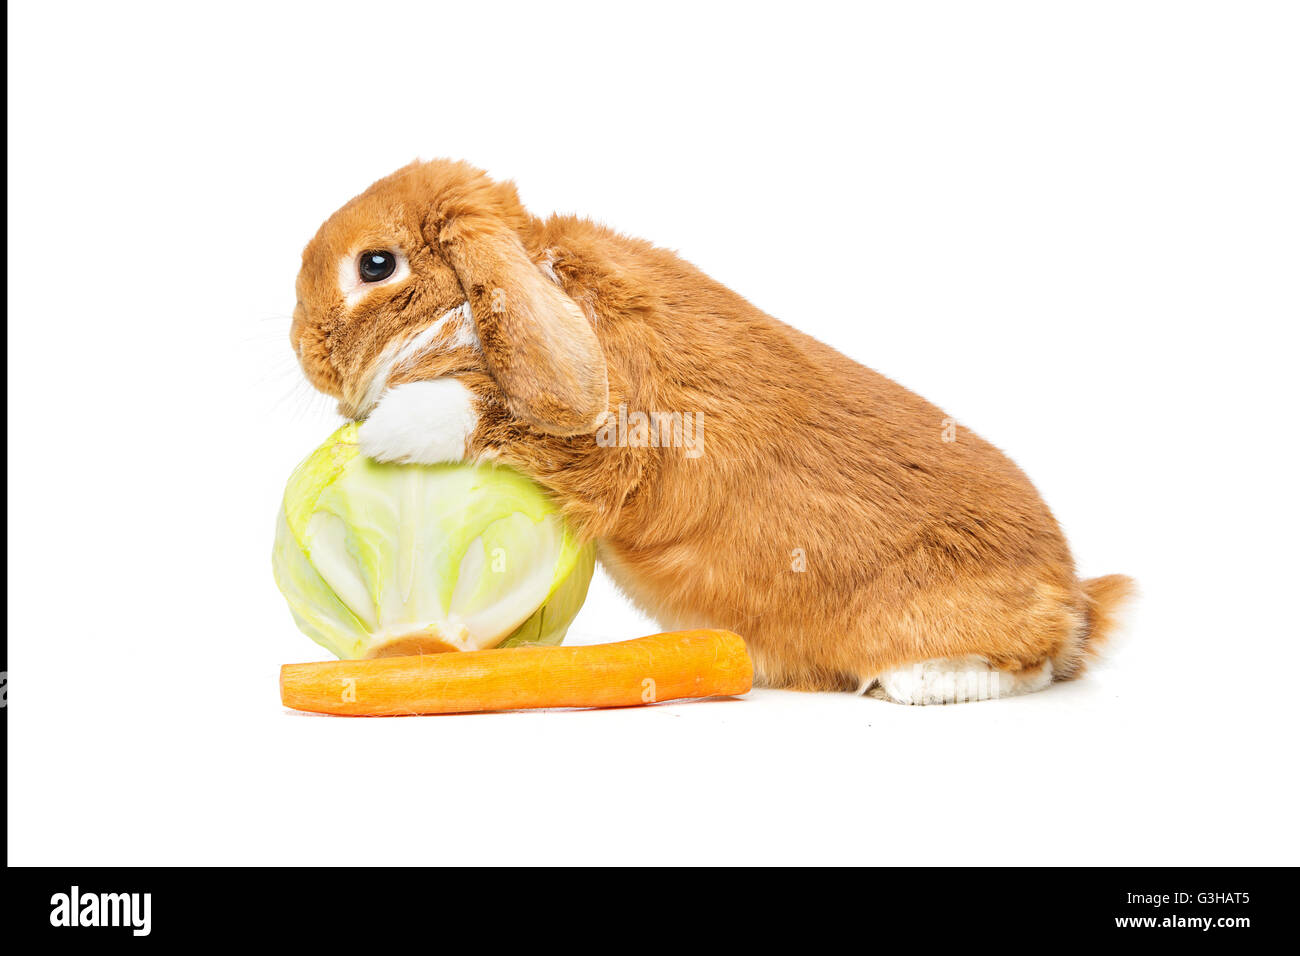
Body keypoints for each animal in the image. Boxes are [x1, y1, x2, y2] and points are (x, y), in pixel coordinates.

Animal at [290, 158, 1134, 704]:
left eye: (376, 265)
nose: (303, 349)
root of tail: (1073, 594)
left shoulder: (623, 446)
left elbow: (491, 412)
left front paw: (387, 429)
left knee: (1034, 665)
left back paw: (925, 682)